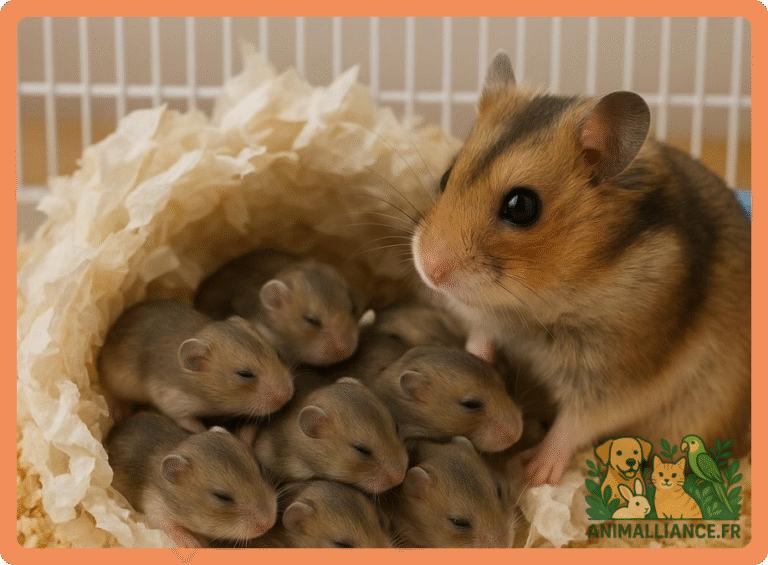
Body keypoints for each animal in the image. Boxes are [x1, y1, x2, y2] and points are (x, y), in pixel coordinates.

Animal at [98, 299, 294, 432]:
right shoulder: (172, 401)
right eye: (244, 374)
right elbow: (188, 421)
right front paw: (206, 430)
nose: (287, 396)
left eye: (277, 353)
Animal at [105, 411, 277, 548]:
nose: (268, 524)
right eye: (222, 497)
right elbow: (171, 527)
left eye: (260, 469)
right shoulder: (156, 506)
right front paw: (194, 544)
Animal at [411, 52, 751, 486]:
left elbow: (574, 423)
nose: (428, 269)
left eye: (521, 206)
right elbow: (480, 339)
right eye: (446, 176)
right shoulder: (487, 320)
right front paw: (473, 362)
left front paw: (533, 472)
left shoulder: (618, 375)